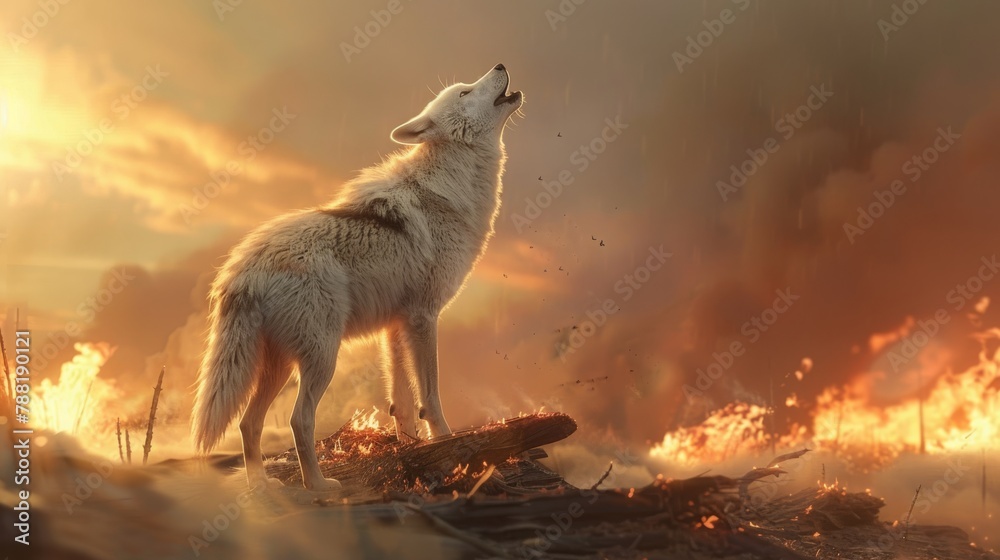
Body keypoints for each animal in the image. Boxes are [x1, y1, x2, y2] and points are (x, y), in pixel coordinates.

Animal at [192, 64, 523, 491]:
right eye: (465, 92)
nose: (500, 65)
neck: (451, 185)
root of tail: (242, 268)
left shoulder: (395, 327)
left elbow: (402, 404)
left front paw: (411, 455)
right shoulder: (424, 317)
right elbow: (431, 397)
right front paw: (447, 444)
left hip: (279, 366)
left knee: (249, 423)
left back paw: (262, 484)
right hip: (321, 358)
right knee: (299, 420)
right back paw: (318, 486)